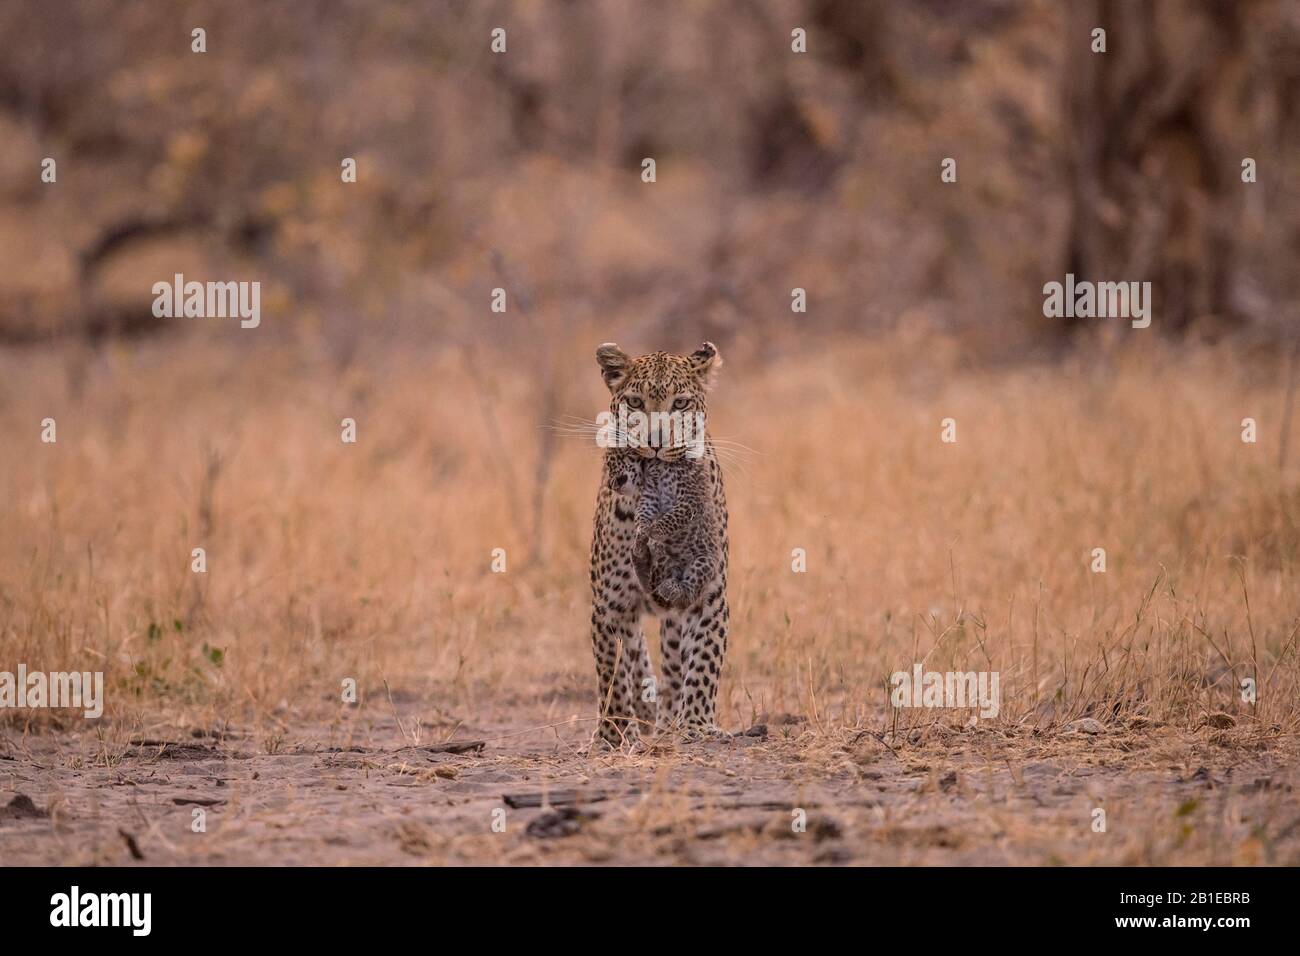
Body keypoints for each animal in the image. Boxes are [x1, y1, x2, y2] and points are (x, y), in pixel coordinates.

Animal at [589, 341, 730, 749]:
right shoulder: (611, 603)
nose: (655, 444)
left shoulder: (707, 591)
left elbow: (703, 660)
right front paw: (614, 737)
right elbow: (612, 673)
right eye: (635, 402)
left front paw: (696, 724)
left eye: (680, 404)